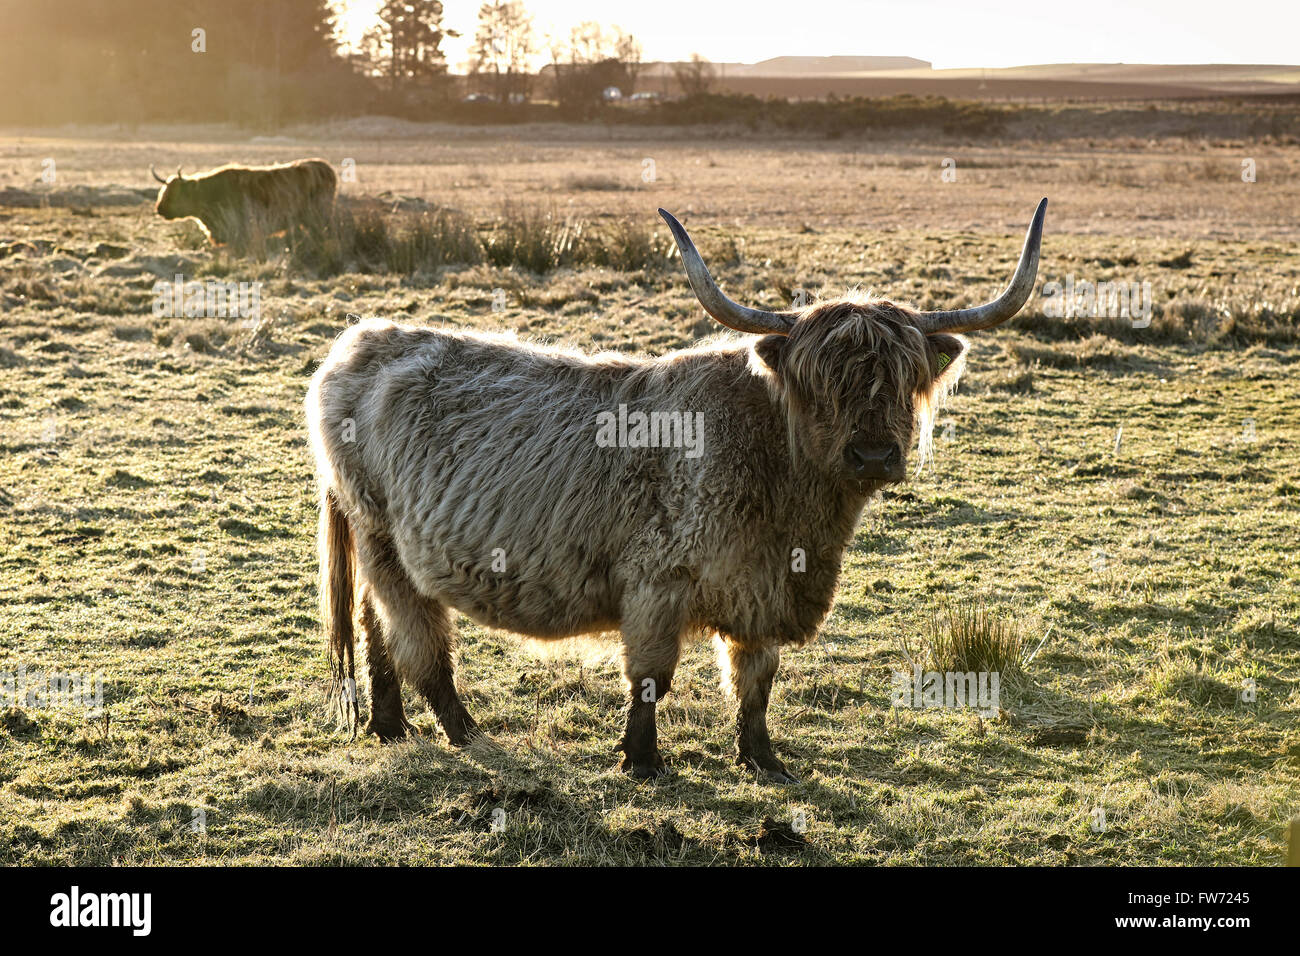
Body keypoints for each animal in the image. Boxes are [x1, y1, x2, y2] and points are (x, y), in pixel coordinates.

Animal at [306, 199, 1047, 782]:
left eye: (903, 379)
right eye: (819, 382)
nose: (872, 453)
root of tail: (360, 340)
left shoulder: (762, 591)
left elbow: (755, 679)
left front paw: (763, 760)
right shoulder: (656, 585)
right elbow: (651, 676)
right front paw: (641, 761)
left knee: (375, 623)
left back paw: (389, 725)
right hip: (382, 536)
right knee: (416, 636)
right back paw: (463, 730)